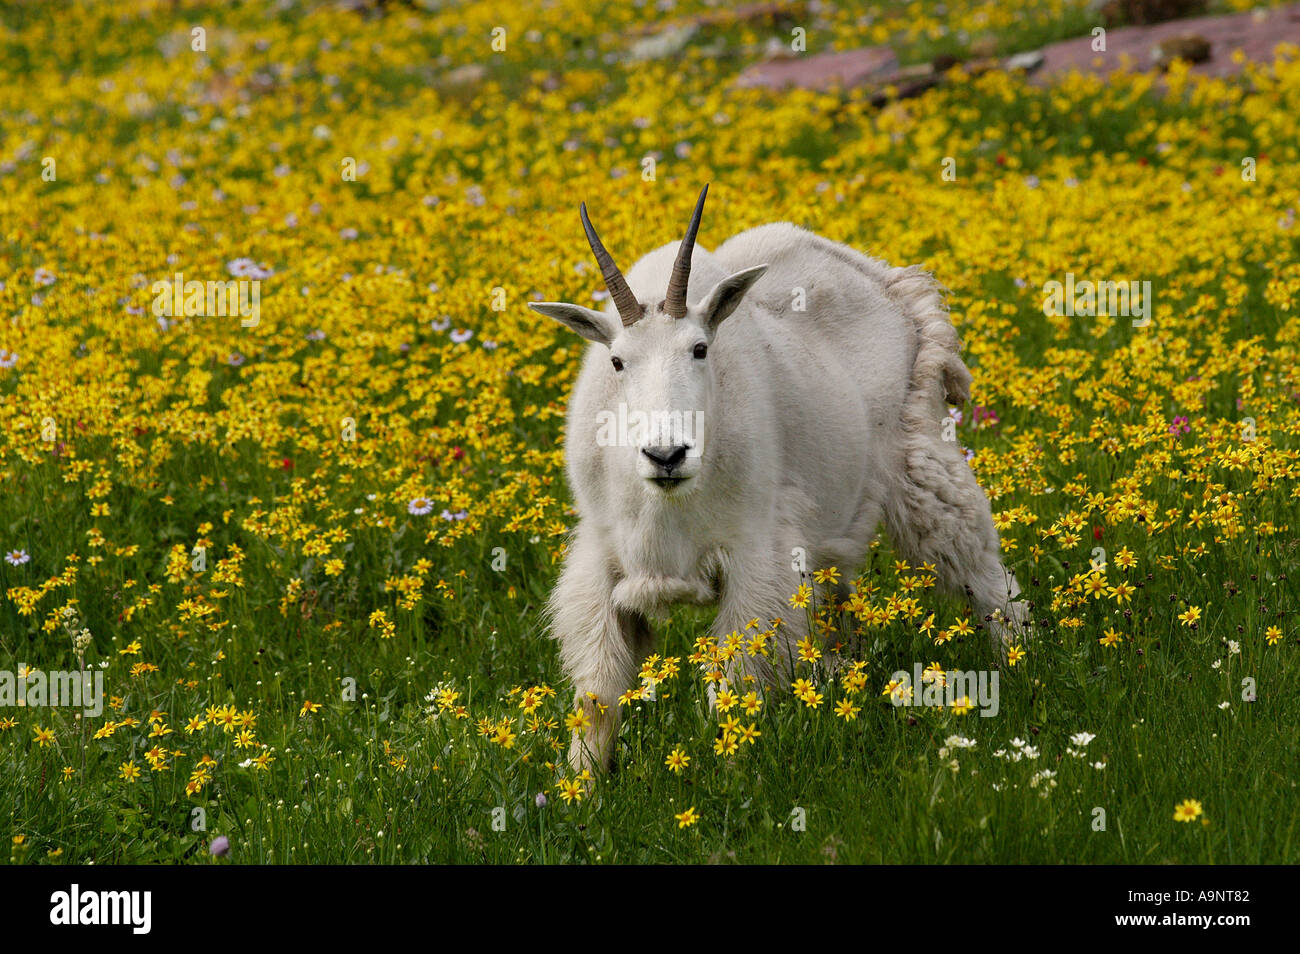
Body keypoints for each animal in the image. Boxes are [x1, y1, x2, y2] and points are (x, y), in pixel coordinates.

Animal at [528, 185, 1026, 770]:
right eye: (617, 361)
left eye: (700, 349)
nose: (666, 454)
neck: (667, 503)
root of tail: (889, 280)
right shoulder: (603, 559)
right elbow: (598, 696)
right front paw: (582, 785)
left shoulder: (755, 555)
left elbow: (735, 682)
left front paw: (731, 773)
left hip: (918, 455)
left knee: (983, 573)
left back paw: (1023, 665)